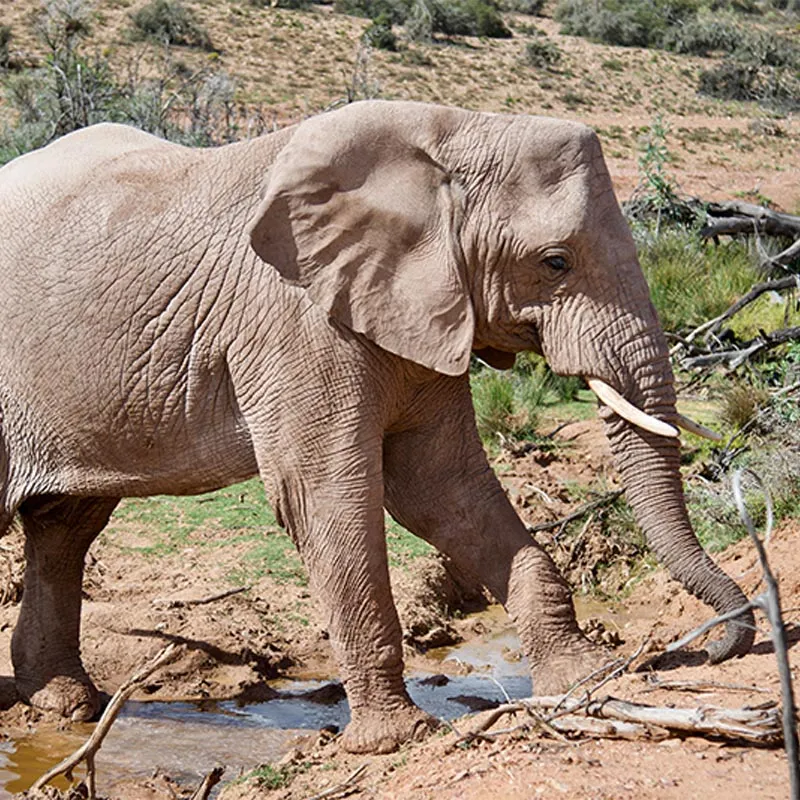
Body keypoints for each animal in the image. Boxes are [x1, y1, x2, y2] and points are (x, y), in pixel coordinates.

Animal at [0, 100, 753, 754]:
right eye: (556, 262)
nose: (706, 647)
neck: (453, 132)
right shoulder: (297, 319)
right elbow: (325, 496)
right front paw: (397, 741)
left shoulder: (422, 308)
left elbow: (441, 488)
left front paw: (588, 678)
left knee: (64, 529)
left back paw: (68, 705)